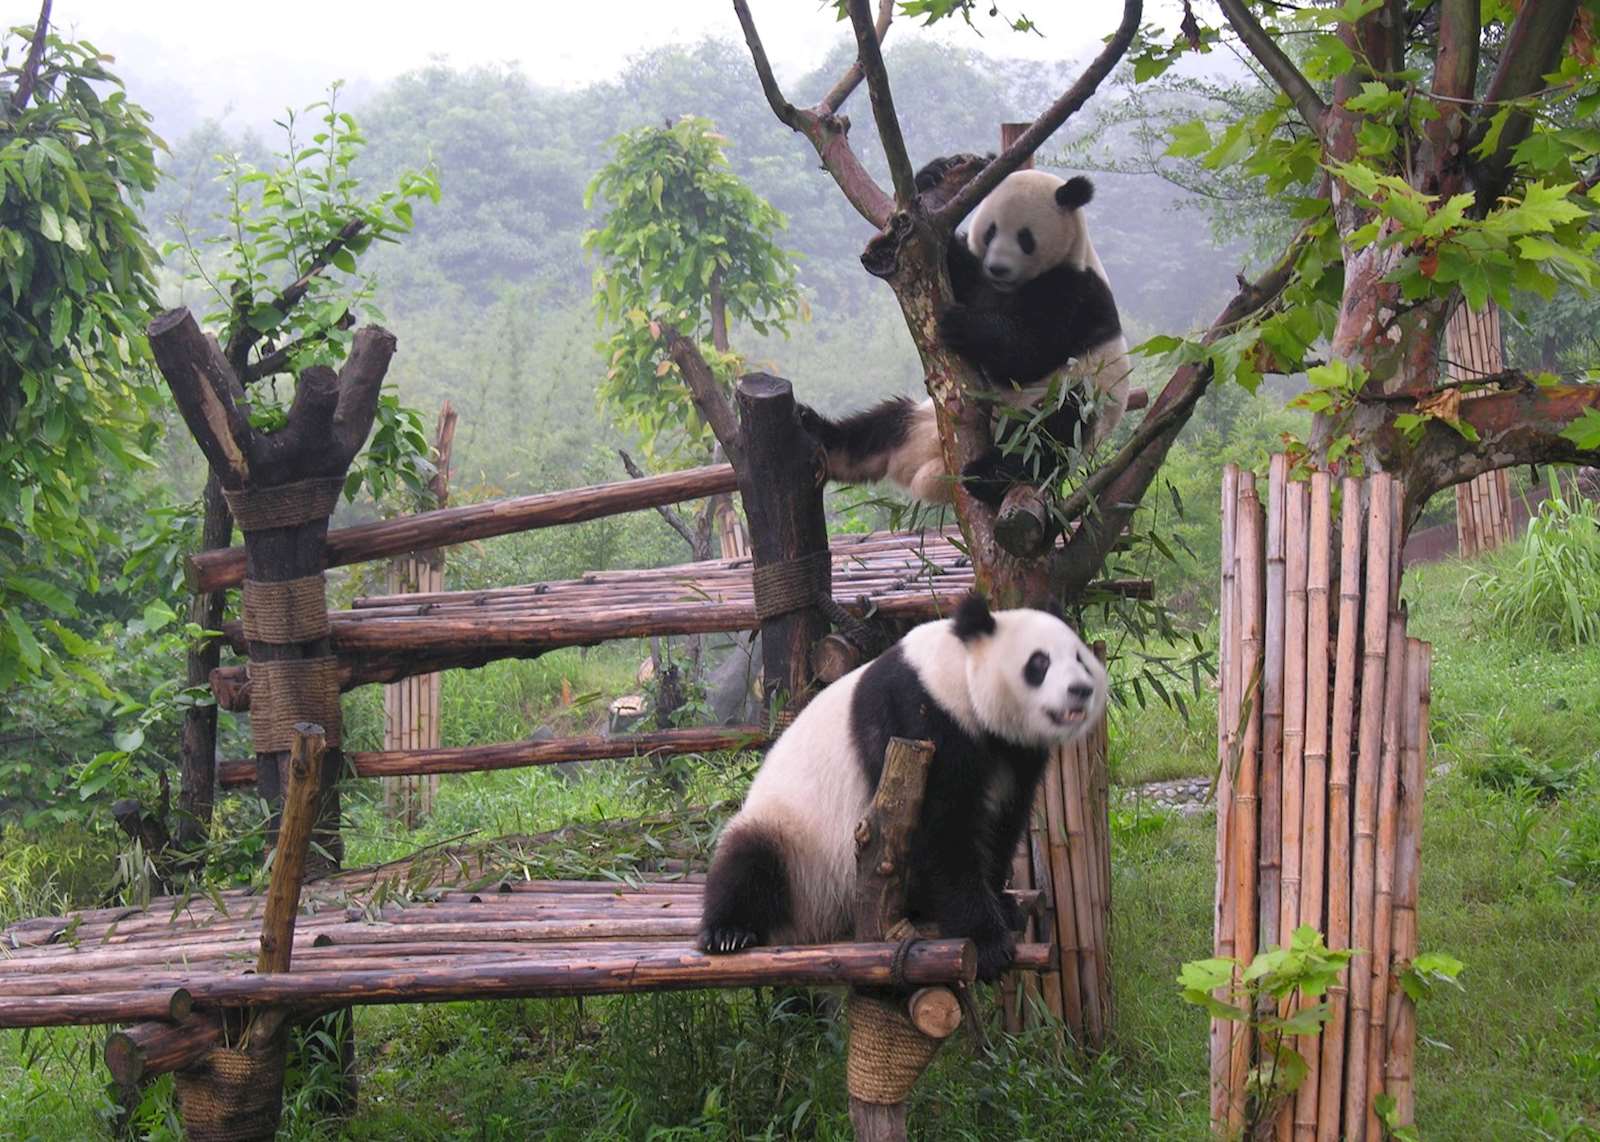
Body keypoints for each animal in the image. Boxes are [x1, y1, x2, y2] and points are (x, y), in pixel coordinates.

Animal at [697, 593, 1107, 981]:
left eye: (1080, 657)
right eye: (1039, 663)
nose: (1080, 690)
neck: (955, 678)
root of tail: (820, 925)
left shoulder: (1015, 754)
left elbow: (1005, 822)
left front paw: (1002, 904)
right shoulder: (917, 720)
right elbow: (942, 831)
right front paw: (987, 941)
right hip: (794, 839)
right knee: (749, 860)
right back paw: (728, 932)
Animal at [798, 157, 1132, 507]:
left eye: (1025, 238)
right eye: (991, 231)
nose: (998, 267)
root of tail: (929, 469)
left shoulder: (1077, 295)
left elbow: (1029, 353)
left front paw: (962, 325)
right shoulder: (978, 277)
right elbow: (948, 265)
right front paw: (932, 177)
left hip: (1071, 402)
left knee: (1050, 431)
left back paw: (985, 476)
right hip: (918, 420)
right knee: (877, 430)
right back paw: (821, 436)